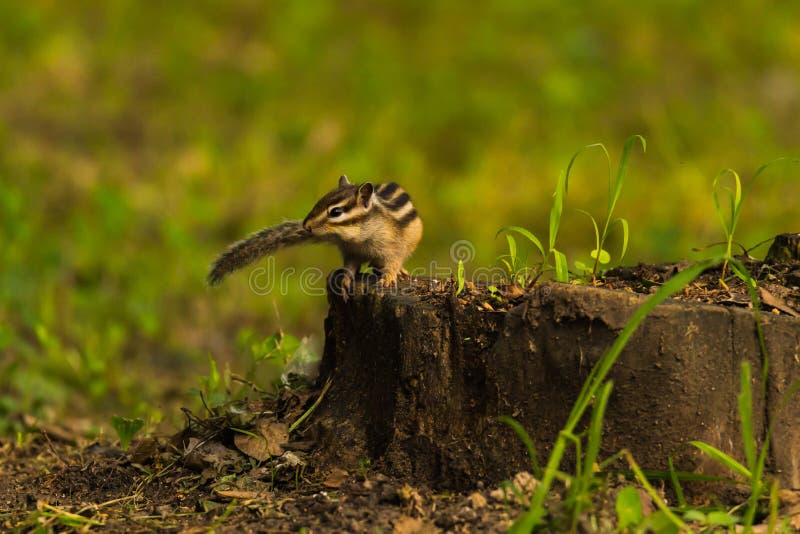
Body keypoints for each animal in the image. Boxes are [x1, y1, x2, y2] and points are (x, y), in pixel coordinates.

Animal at [207, 175, 423, 293]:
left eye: (336, 212)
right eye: (319, 201)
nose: (306, 226)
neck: (359, 237)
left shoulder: (392, 246)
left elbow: (393, 261)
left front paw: (389, 277)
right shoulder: (350, 251)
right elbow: (350, 266)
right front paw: (345, 279)